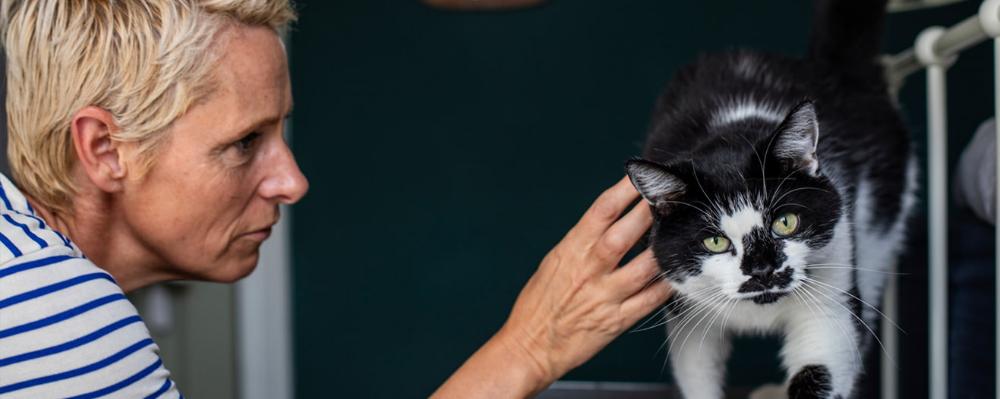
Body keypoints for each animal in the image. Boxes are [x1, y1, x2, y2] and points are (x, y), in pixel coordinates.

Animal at [624, 1, 916, 398]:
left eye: (785, 222)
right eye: (715, 241)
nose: (762, 270)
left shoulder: (831, 300)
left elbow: (823, 359)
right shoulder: (690, 318)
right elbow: (697, 373)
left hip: (877, 230)